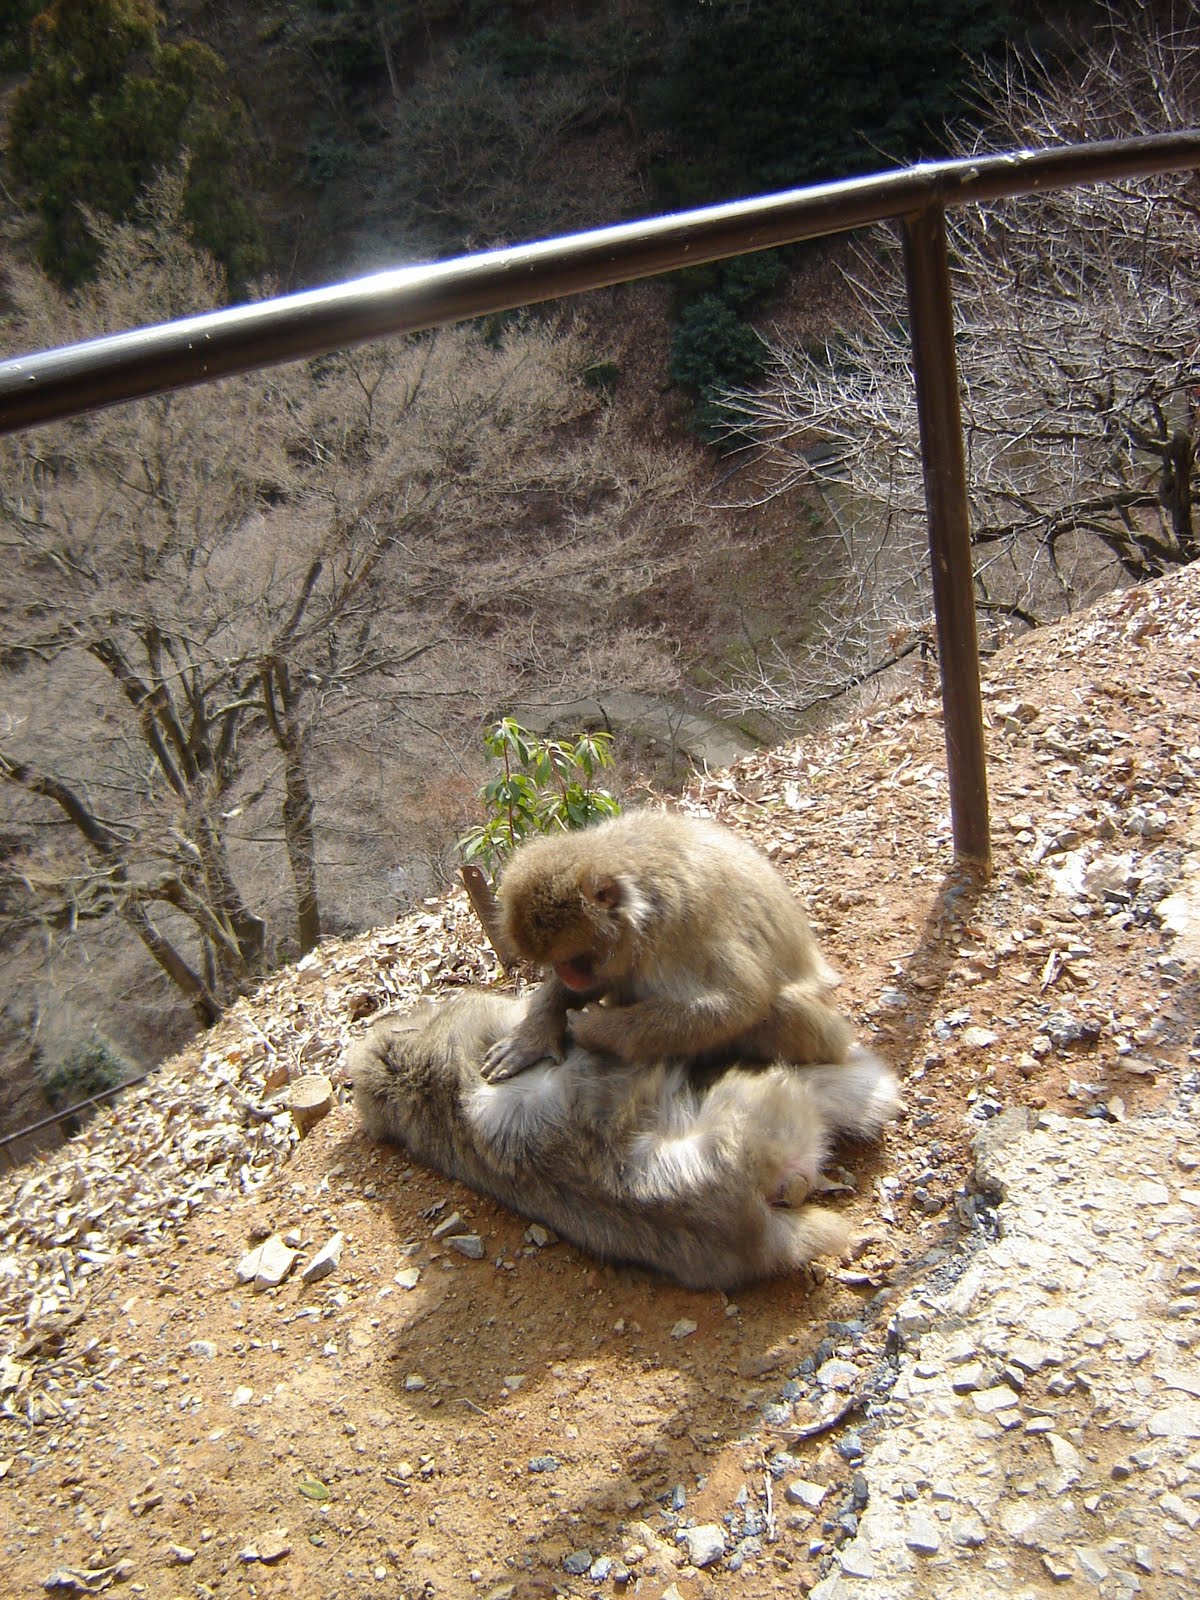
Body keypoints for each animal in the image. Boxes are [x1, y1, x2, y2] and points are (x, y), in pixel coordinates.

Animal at [481, 809, 853, 1083]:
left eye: (577, 958)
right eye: (558, 964)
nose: (571, 978)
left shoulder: (685, 920)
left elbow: (738, 1000)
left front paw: (595, 1027)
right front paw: (534, 1035)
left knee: (781, 1008)